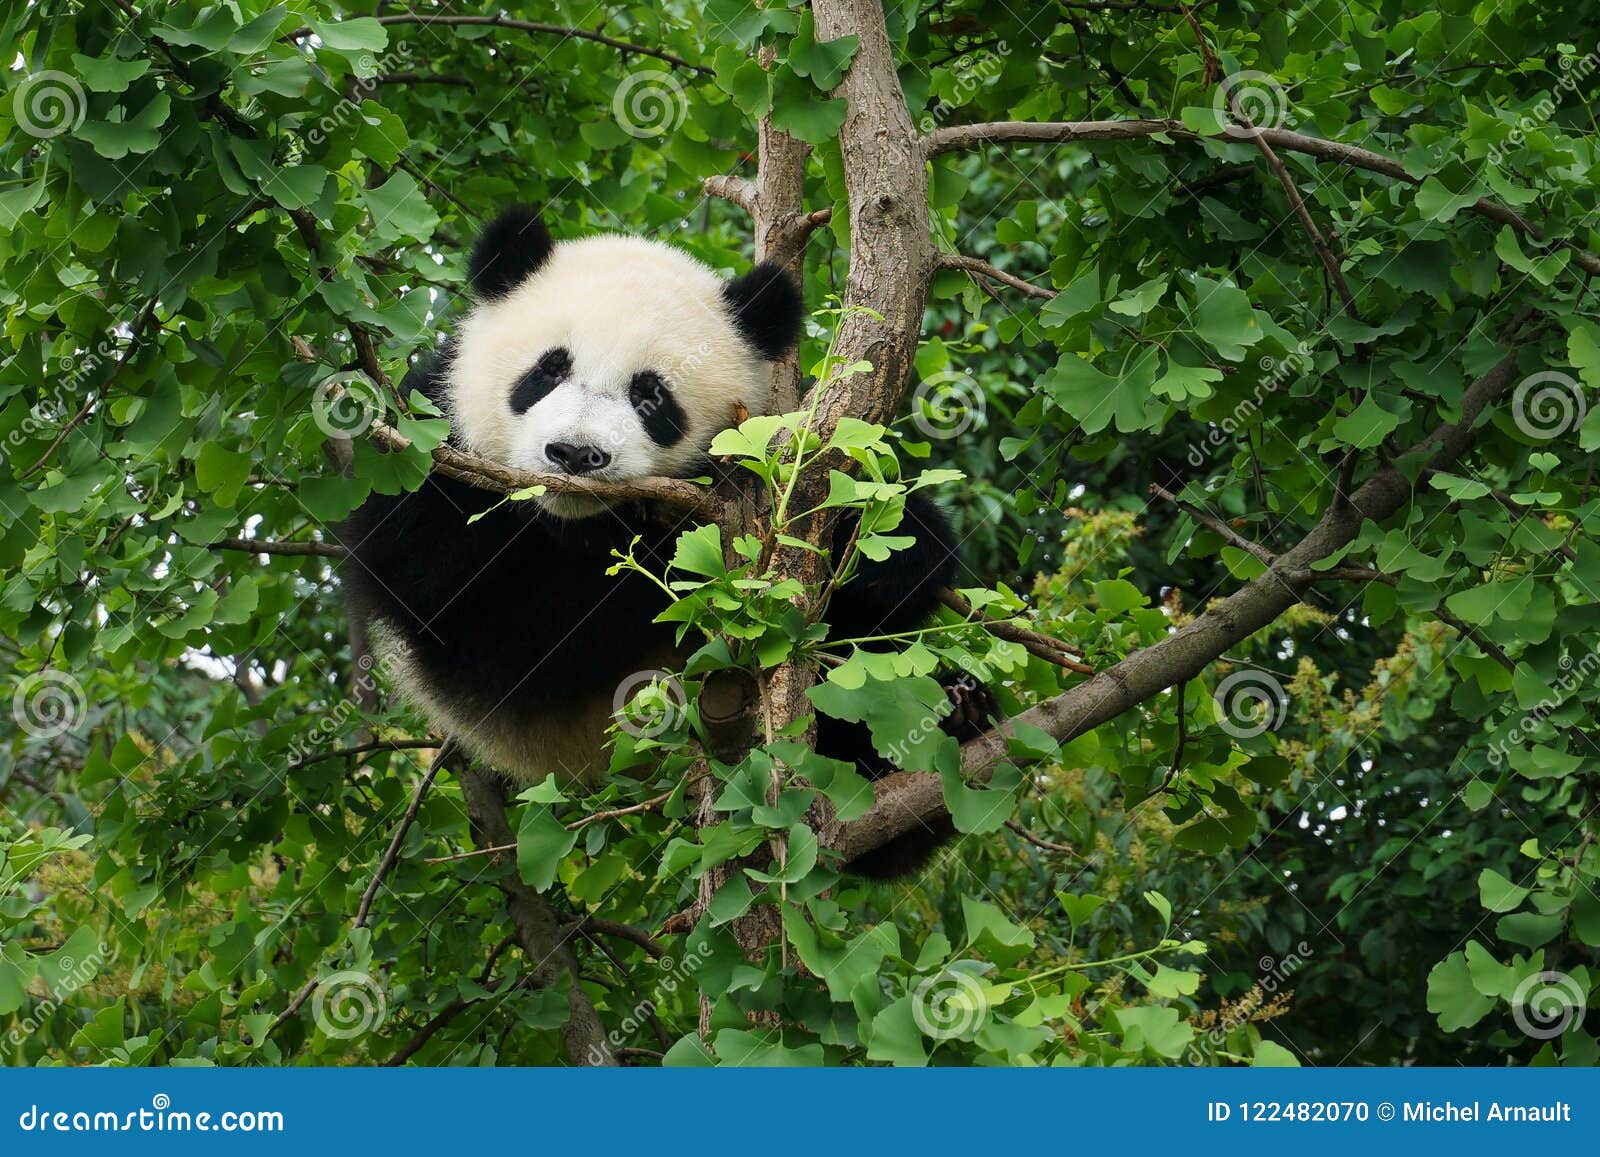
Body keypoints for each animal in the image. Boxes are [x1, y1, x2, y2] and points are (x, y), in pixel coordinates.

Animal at [341, 206, 997, 878]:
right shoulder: (425, 474)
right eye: (550, 369)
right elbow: (503, 625)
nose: (576, 454)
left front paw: (884, 555)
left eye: (650, 396)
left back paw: (956, 716)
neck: (571, 523)